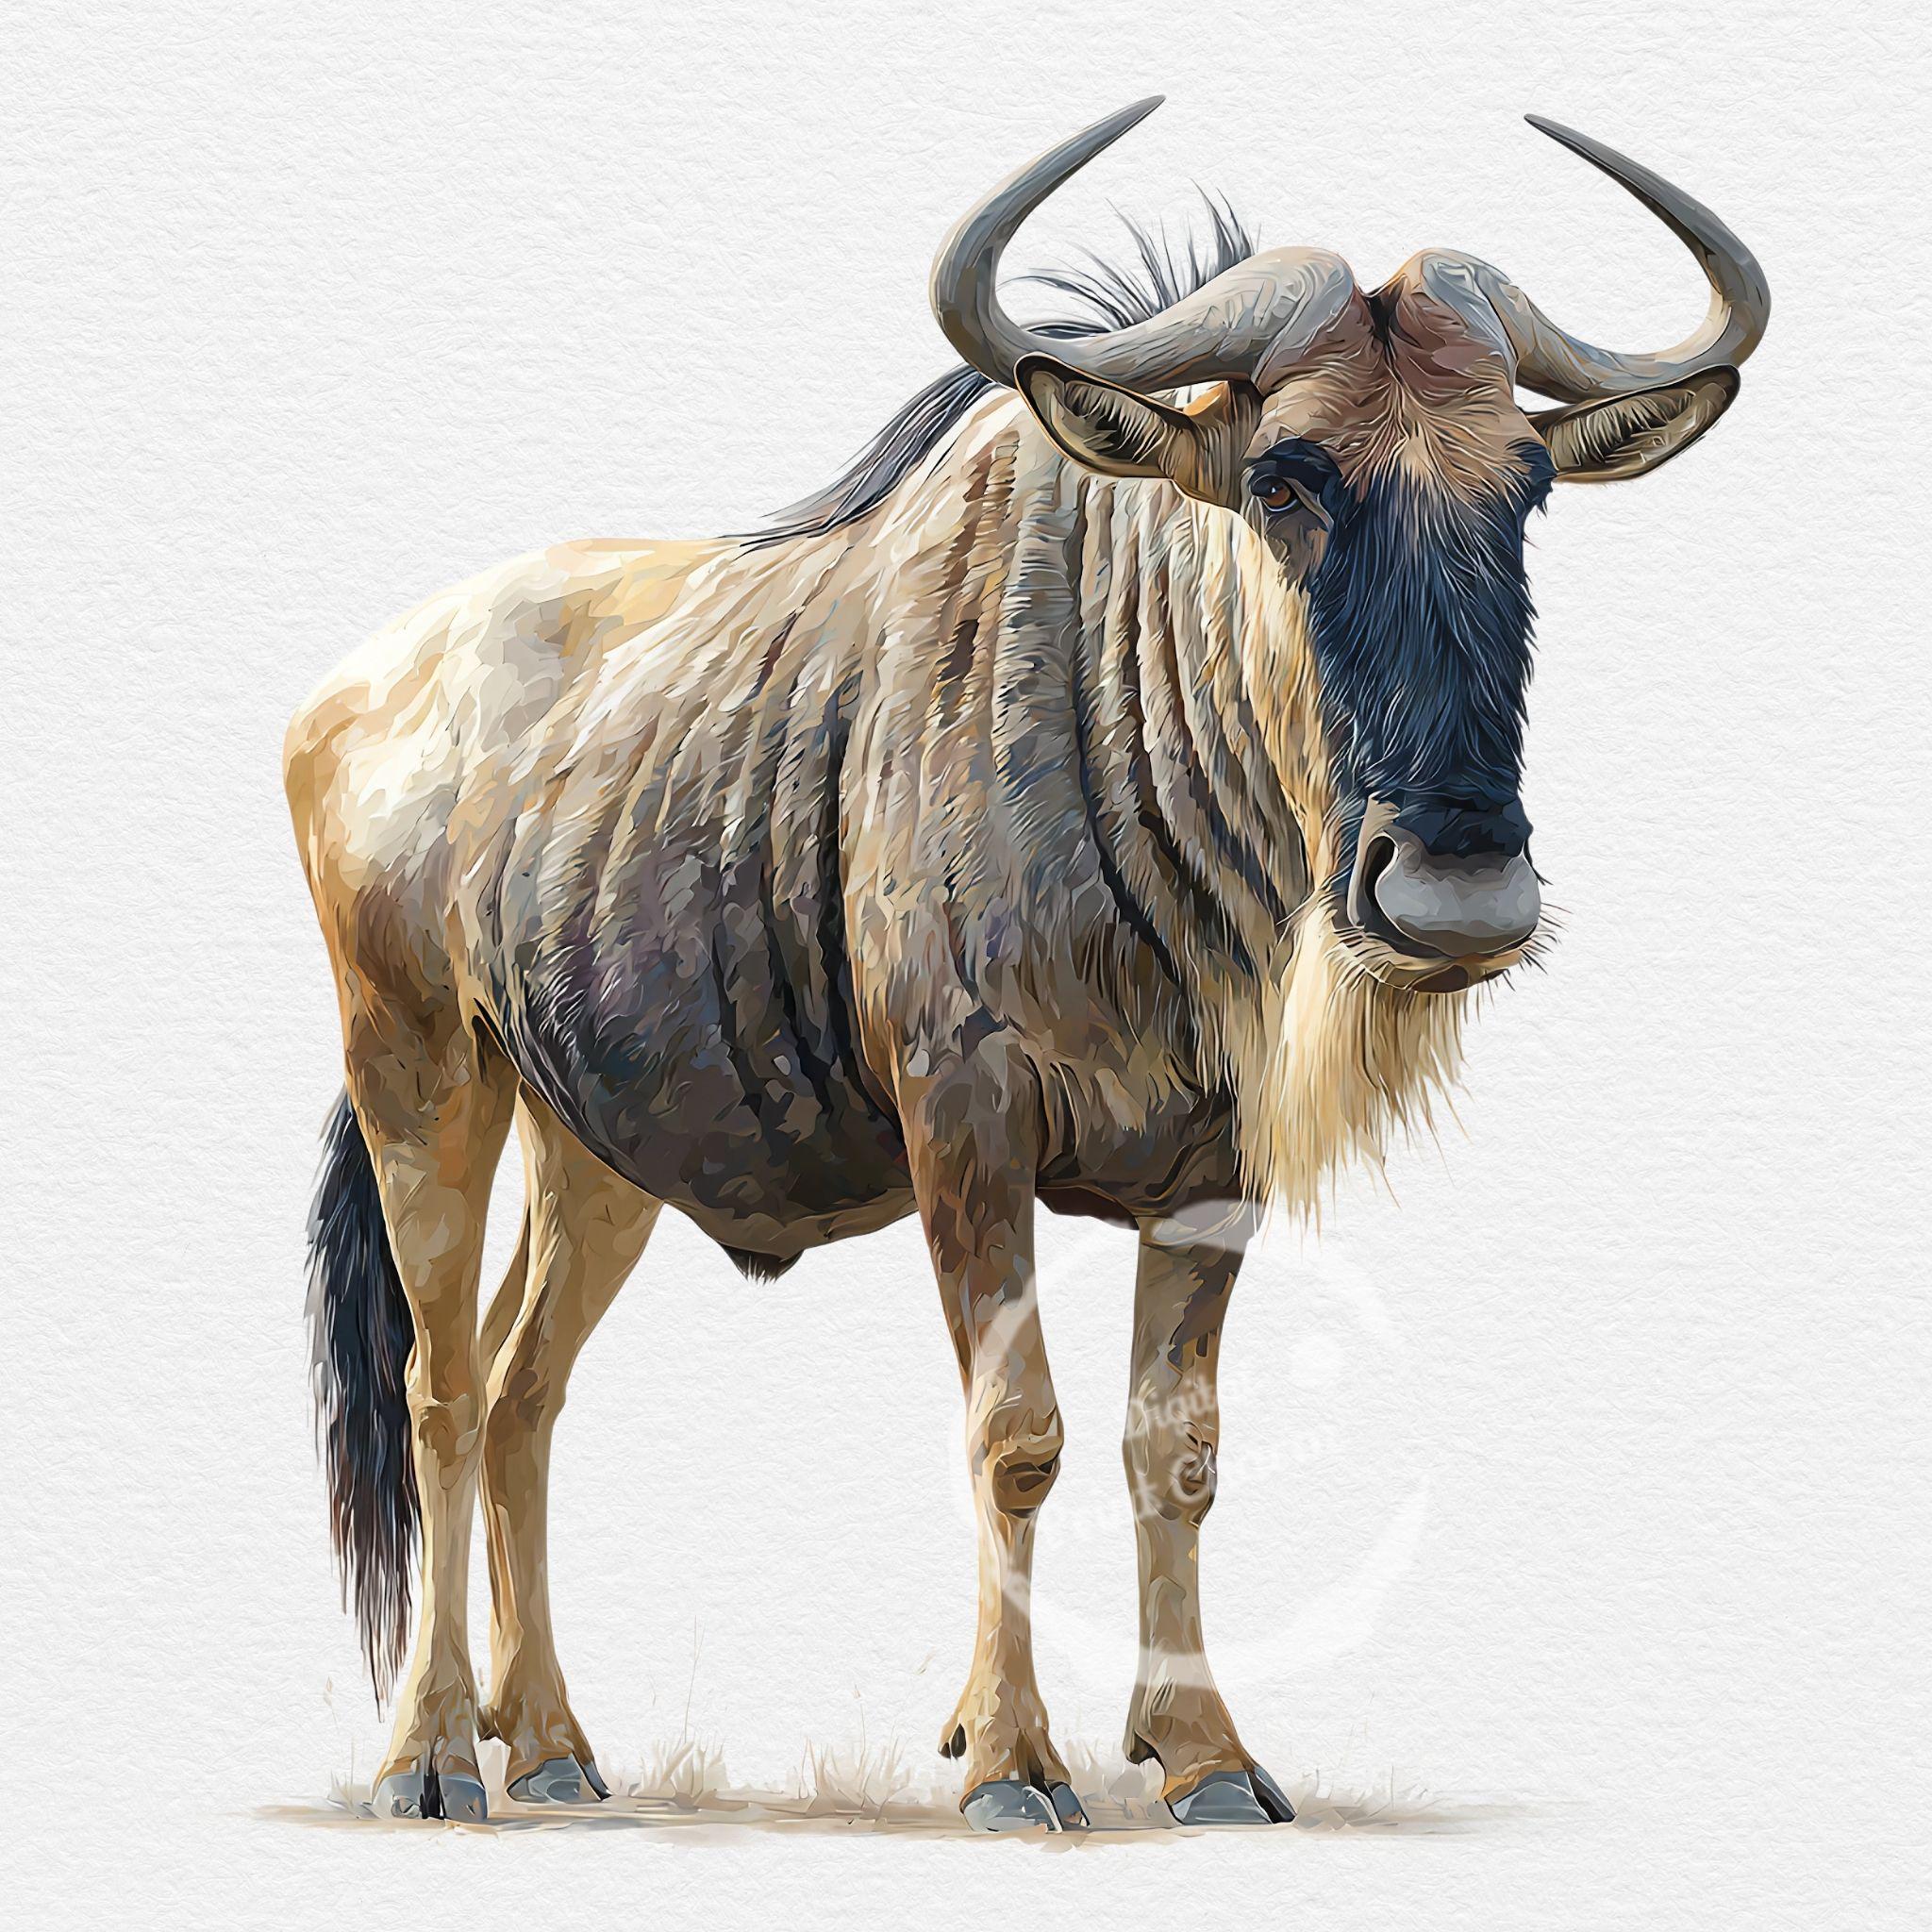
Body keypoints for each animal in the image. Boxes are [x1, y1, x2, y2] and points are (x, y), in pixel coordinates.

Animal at [287, 98, 1767, 1828]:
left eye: (1526, 489)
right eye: (1284, 481)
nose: (1459, 890)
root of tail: (354, 691)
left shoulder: (1212, 1171)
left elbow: (1173, 1446)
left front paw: (1203, 1756)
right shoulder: (967, 1132)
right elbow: (1019, 1434)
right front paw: (1007, 1760)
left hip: (594, 1146)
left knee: (527, 1386)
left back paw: (558, 1747)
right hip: (418, 1071)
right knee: (443, 1386)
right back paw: (430, 1756)